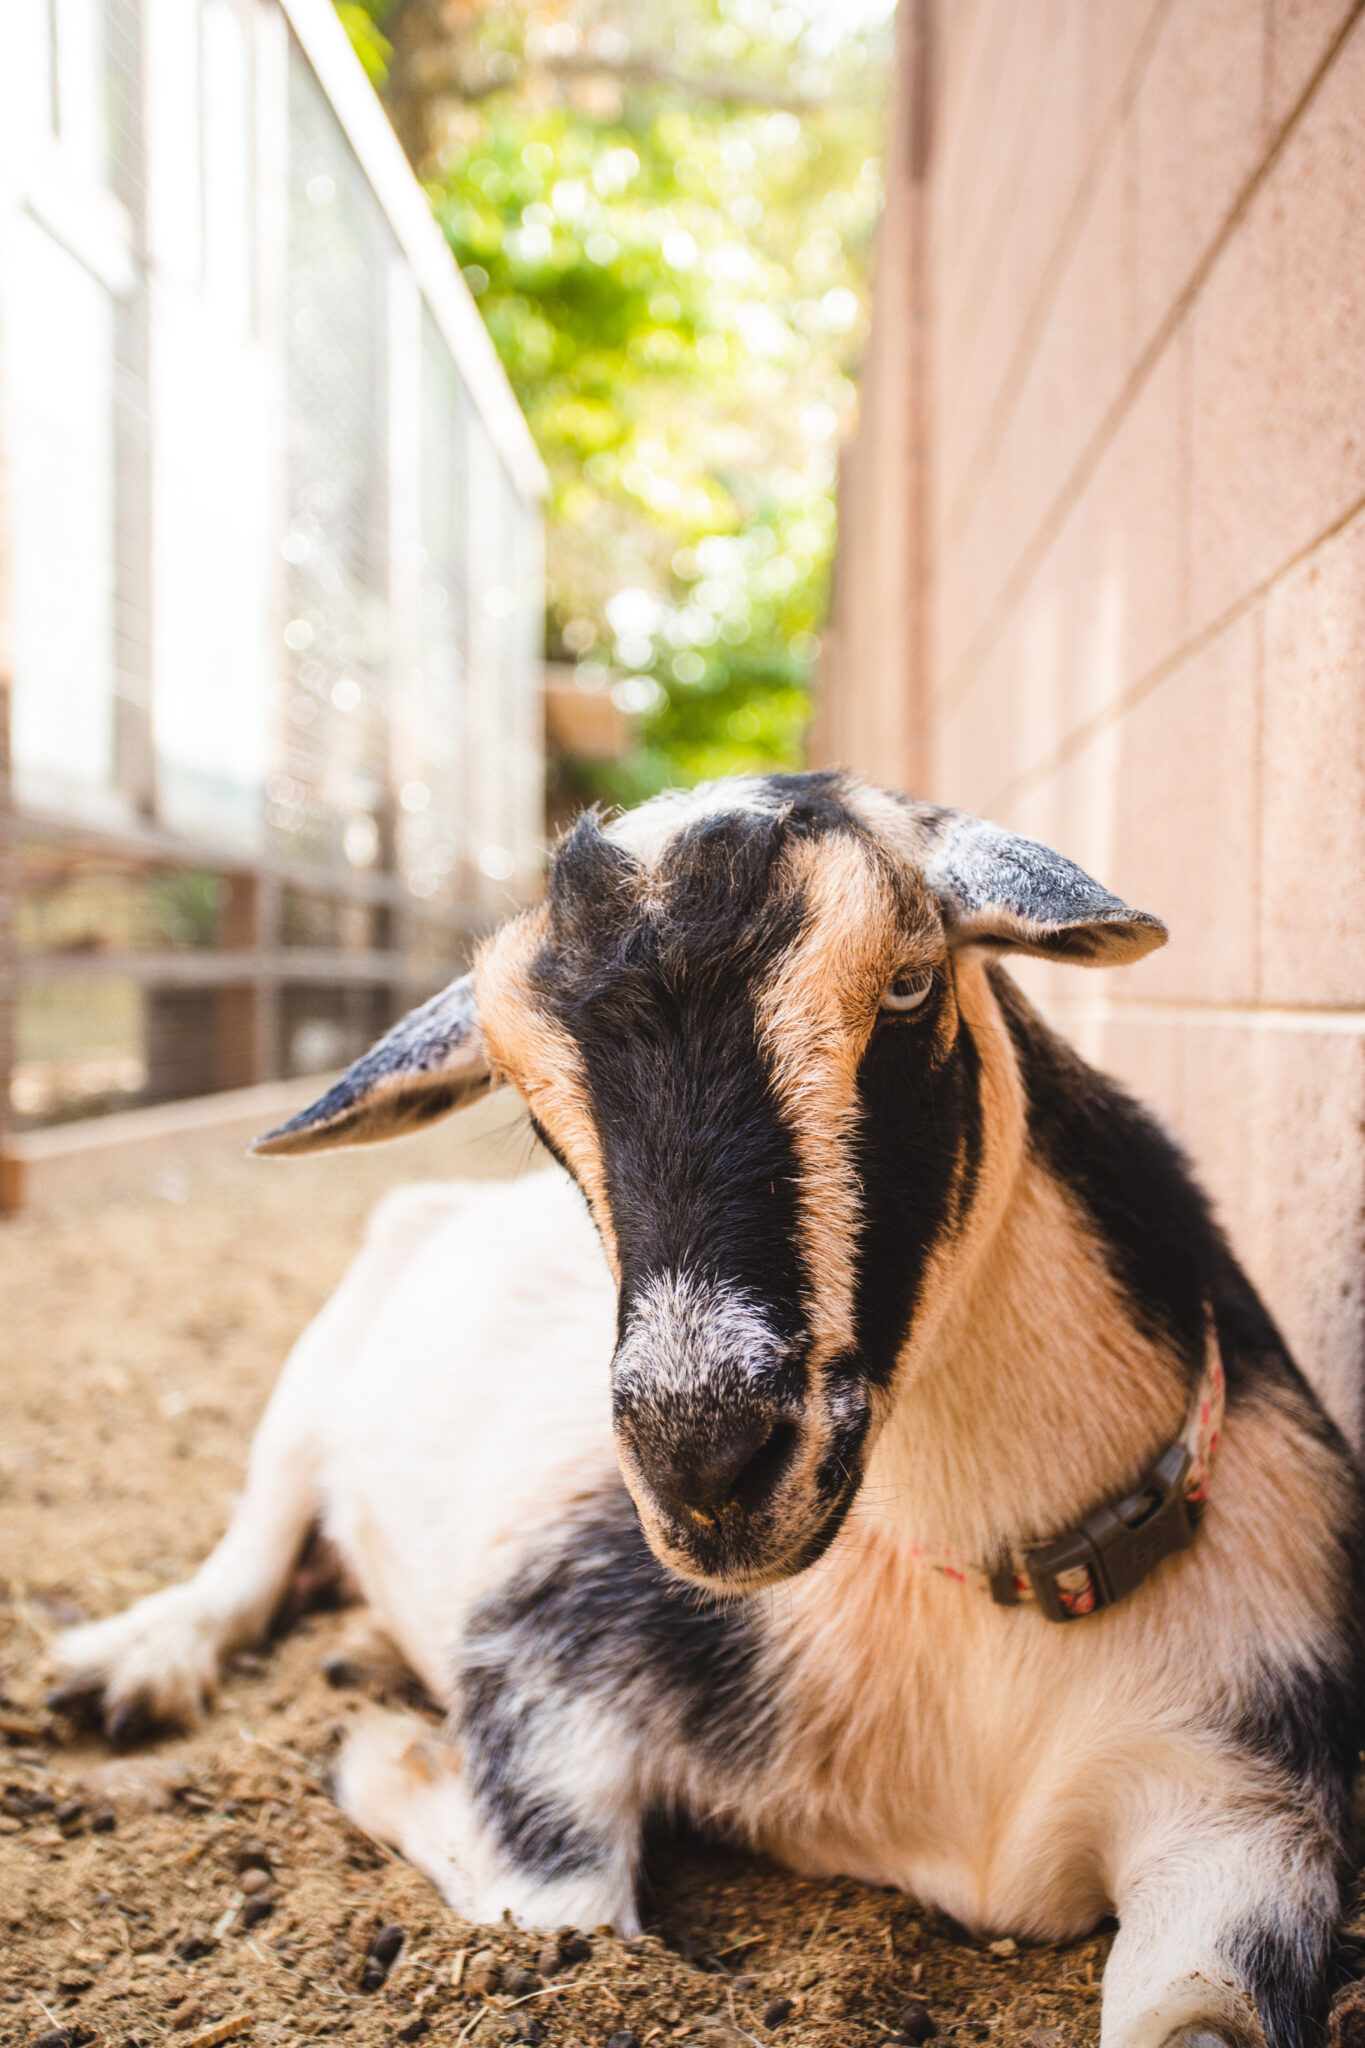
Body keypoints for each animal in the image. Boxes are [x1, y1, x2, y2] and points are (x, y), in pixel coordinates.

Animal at [53, 773, 1364, 2048]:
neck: (974, 1588)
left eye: (909, 983)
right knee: (258, 1534)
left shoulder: (1248, 1807)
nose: (704, 1464)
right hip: (321, 1358)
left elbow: (1208, 2018)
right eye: (526, 1095)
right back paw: (133, 1665)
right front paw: (393, 1755)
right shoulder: (548, 1642)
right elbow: (563, 1907)